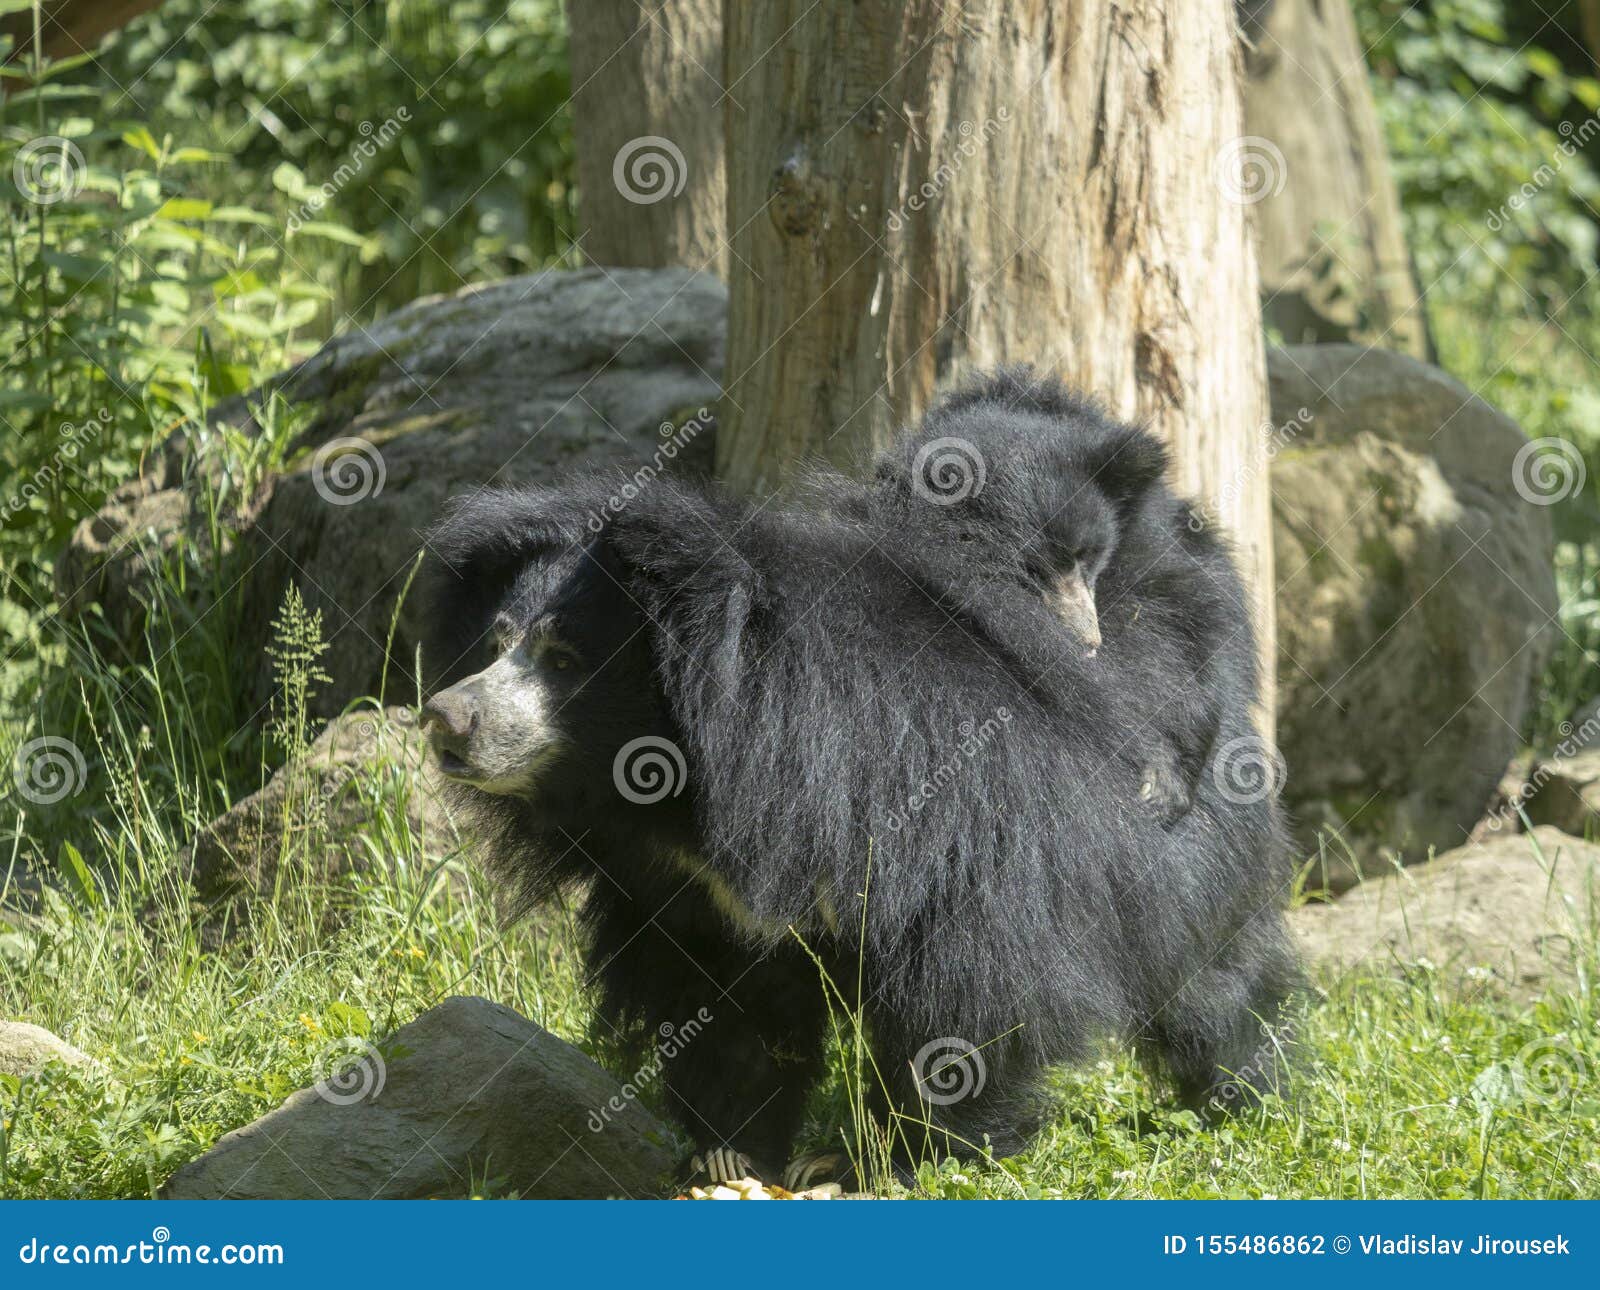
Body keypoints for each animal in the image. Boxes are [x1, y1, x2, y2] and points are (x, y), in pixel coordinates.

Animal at [420, 463, 1298, 1189]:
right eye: (496, 642)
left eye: (567, 660)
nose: (446, 717)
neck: (683, 794)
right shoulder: (697, 895)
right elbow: (728, 1006)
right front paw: (728, 1153)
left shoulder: (949, 836)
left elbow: (968, 995)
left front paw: (889, 1162)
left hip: (1188, 843)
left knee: (1214, 986)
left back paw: (1242, 1101)